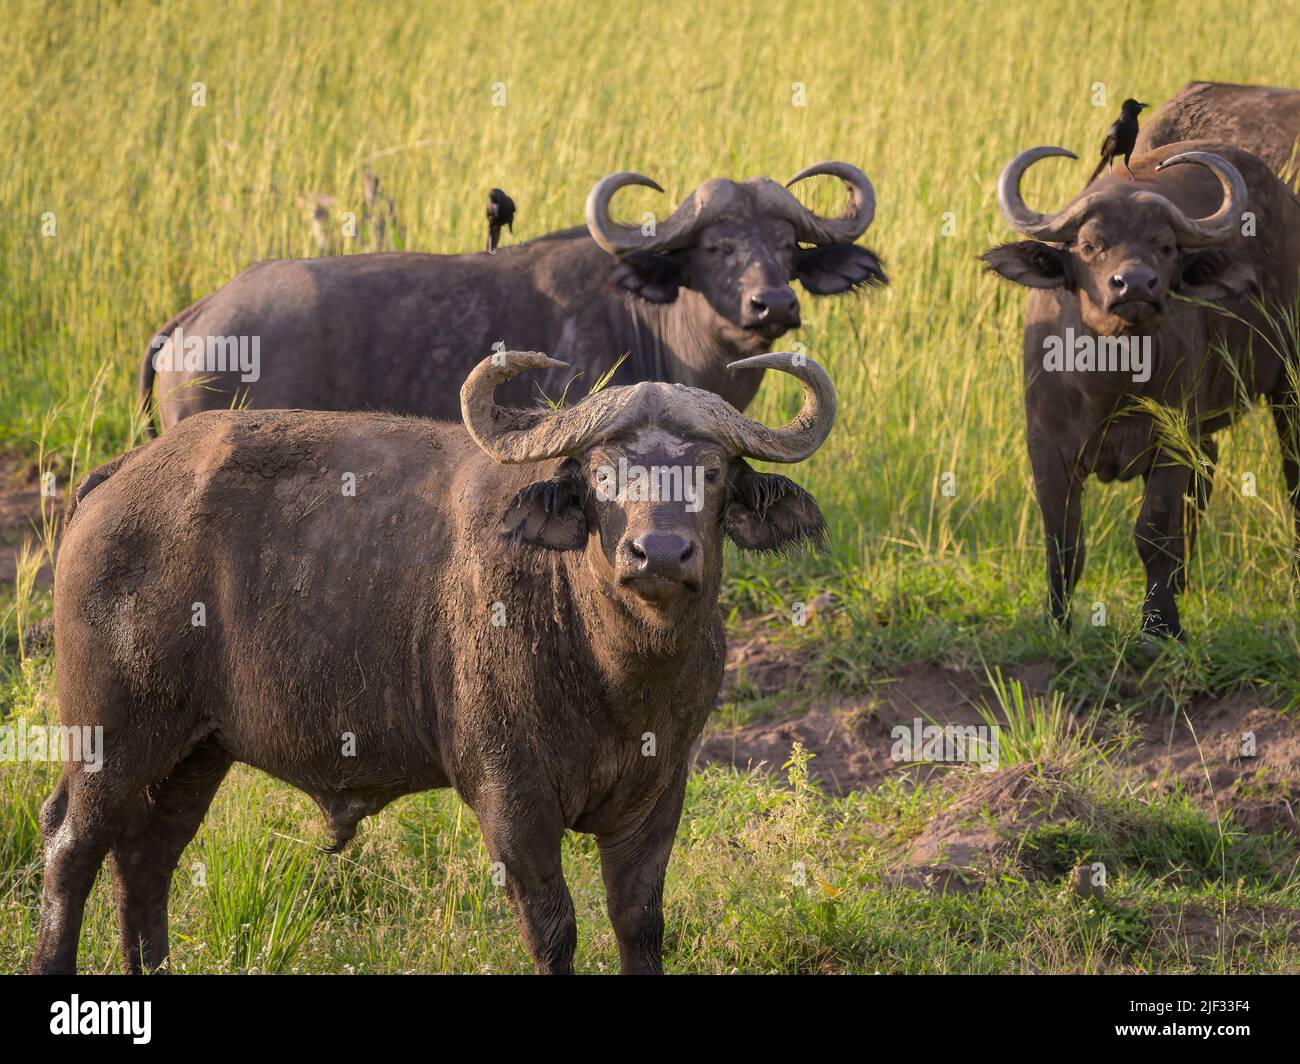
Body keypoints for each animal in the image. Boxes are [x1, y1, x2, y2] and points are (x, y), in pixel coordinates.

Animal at [33, 350, 835, 975]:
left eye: (713, 472)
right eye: (603, 475)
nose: (660, 553)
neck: (614, 670)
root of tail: (118, 477)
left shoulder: (659, 792)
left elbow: (639, 925)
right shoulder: (510, 797)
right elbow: (554, 929)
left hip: (197, 748)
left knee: (147, 856)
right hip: (109, 738)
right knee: (72, 845)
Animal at [982, 142, 1300, 638]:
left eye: (1165, 246)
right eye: (1090, 245)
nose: (1134, 284)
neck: (1110, 386)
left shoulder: (1171, 440)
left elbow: (1154, 530)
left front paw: (1160, 624)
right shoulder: (1045, 443)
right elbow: (1063, 538)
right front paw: (1058, 622)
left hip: (1287, 380)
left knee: (1290, 473)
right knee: (1206, 474)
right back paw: (1182, 582)